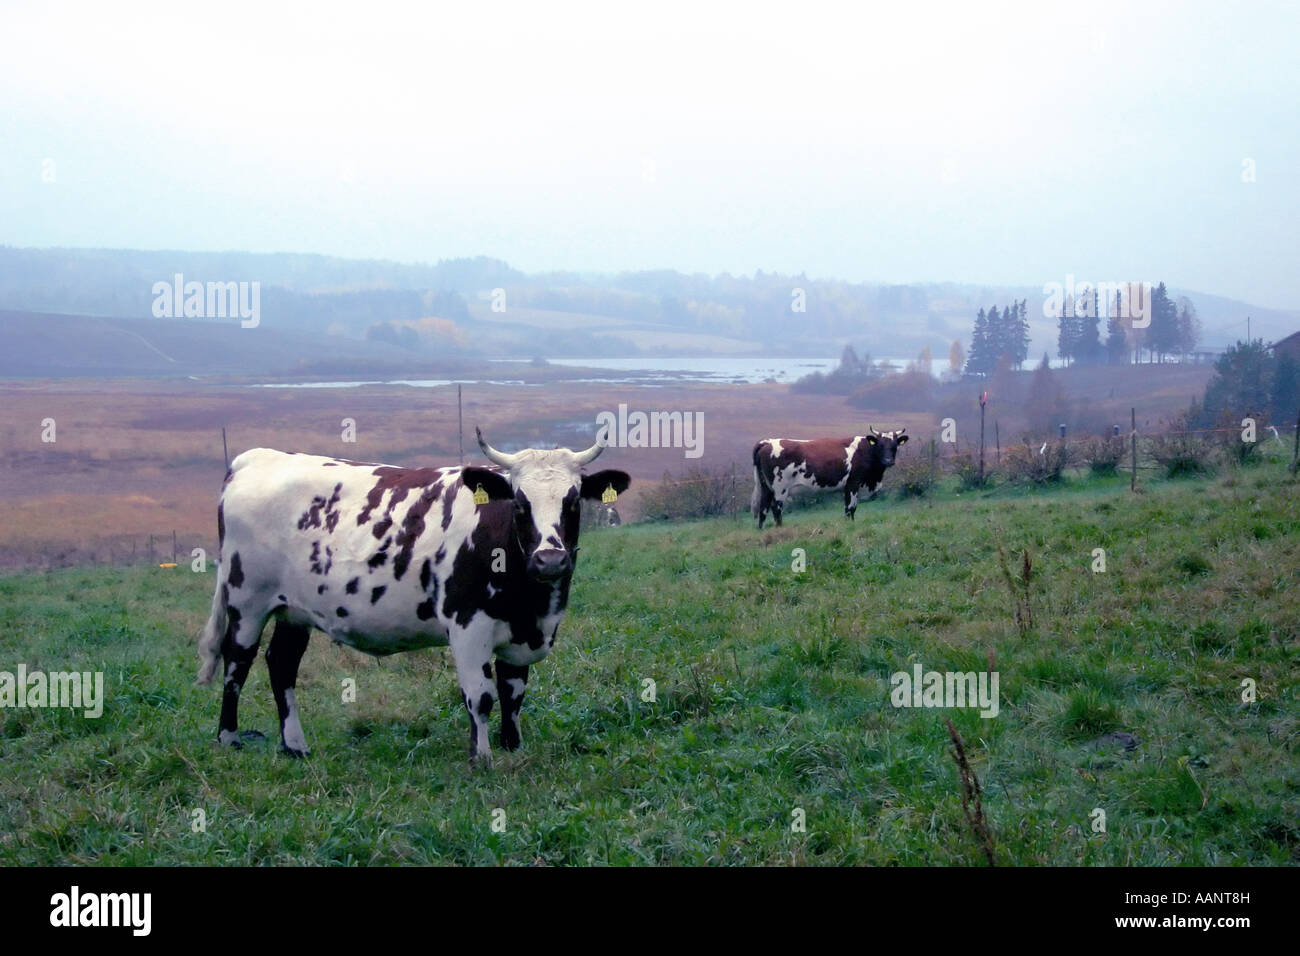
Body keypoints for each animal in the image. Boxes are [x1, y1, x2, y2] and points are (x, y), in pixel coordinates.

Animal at [195, 428, 630, 766]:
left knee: (281, 664)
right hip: (247, 601)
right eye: (520, 504)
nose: (549, 559)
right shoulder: (468, 625)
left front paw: (512, 748)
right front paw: (481, 758)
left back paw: (295, 746)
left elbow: (513, 692)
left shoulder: (522, 632)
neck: (533, 603)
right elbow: (481, 696)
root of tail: (257, 457)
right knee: (237, 662)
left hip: (294, 611)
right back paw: (229, 738)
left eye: (573, 502)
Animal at [751, 427, 907, 529]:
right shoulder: (853, 483)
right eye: (880, 445)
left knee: (763, 508)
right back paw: (780, 529)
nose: (888, 461)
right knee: (776, 509)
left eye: (894, 446)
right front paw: (849, 526)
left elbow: (849, 508)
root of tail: (767, 442)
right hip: (780, 488)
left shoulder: (848, 487)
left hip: (766, 487)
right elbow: (851, 507)